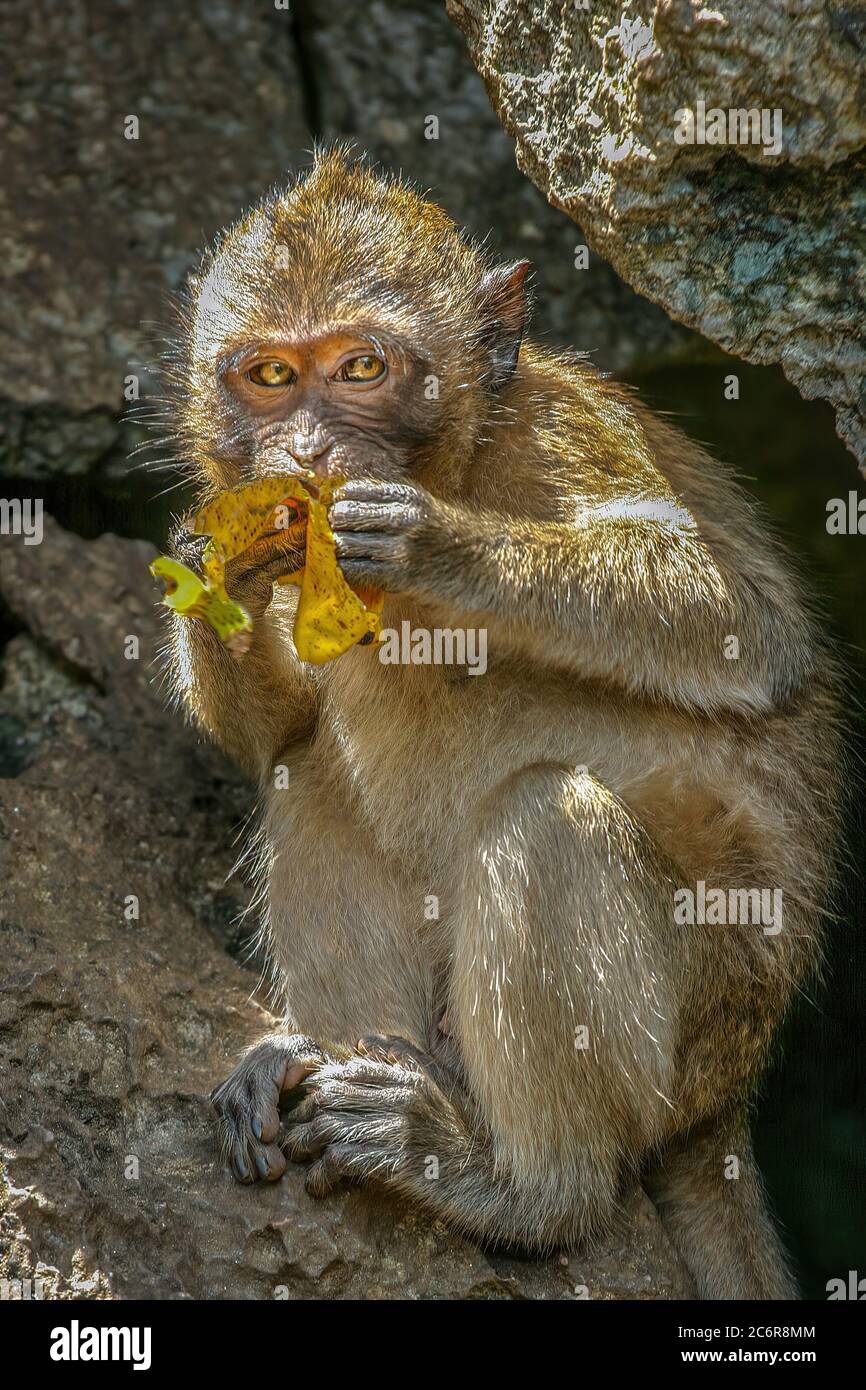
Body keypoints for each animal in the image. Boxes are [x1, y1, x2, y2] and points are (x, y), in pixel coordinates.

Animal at [163, 147, 842, 1300]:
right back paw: (328, 1061)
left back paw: (523, 1188)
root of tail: (726, 1098)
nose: (307, 451)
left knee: (547, 818)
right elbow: (273, 735)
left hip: (695, 1024)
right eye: (270, 377)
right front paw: (224, 560)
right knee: (314, 780)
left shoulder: (556, 434)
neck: (463, 456)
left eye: (360, 368)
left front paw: (429, 542)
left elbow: (735, 623)